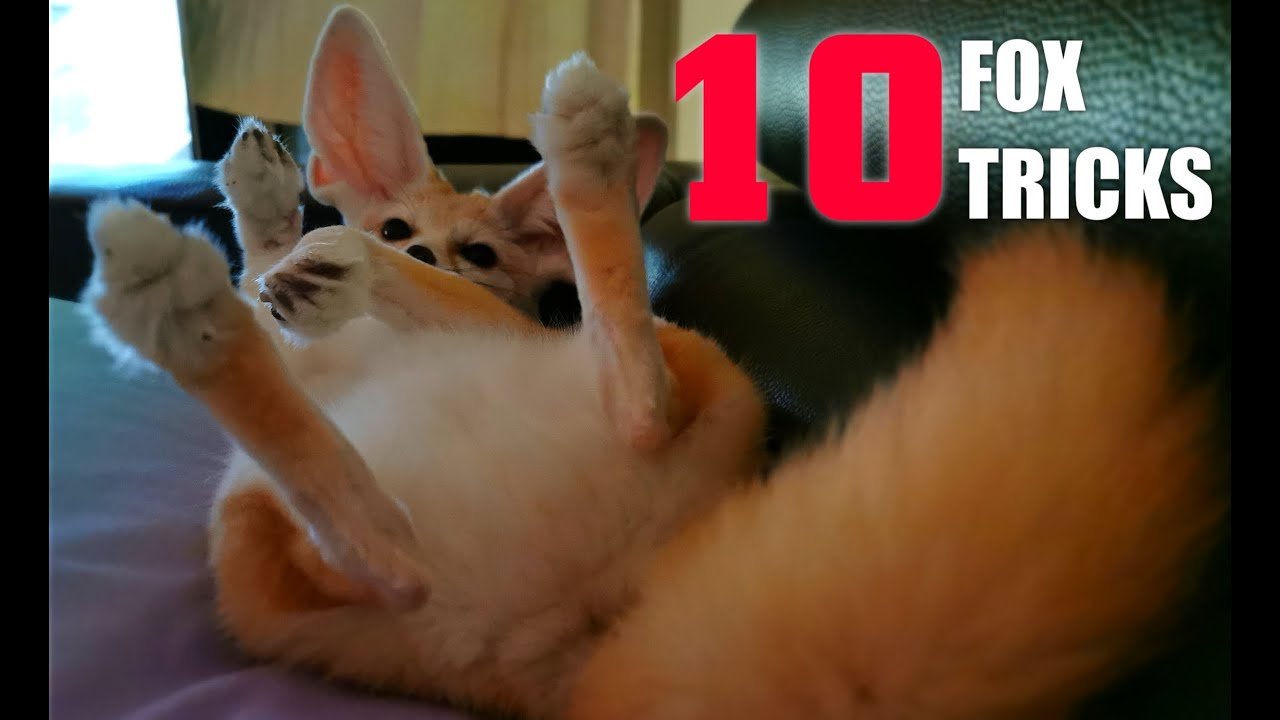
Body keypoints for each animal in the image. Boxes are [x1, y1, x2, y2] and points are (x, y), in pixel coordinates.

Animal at [79, 12, 1226, 720]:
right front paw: (267, 214)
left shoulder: (485, 317)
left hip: (666, 368)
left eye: (483, 252)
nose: (406, 251)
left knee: (626, 398)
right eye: (402, 217)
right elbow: (277, 267)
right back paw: (186, 306)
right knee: (383, 543)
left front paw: (309, 254)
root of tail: (592, 633)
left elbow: (347, 280)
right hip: (265, 543)